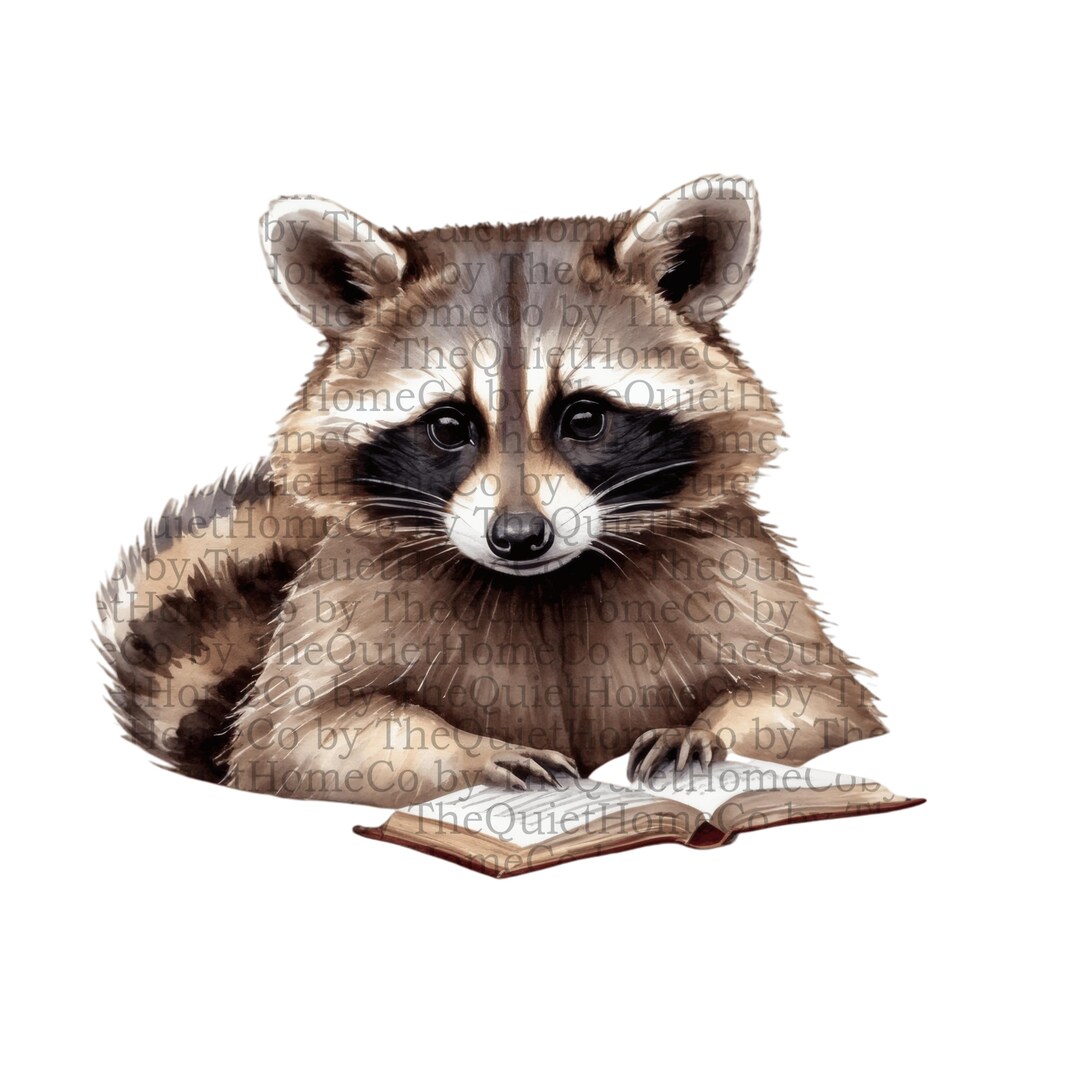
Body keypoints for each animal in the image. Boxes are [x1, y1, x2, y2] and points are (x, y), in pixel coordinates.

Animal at [98, 175, 886, 808]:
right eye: (449, 425)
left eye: (584, 418)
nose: (519, 537)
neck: (548, 583)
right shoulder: (349, 591)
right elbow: (295, 739)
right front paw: (472, 751)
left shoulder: (732, 568)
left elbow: (823, 700)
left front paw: (709, 727)